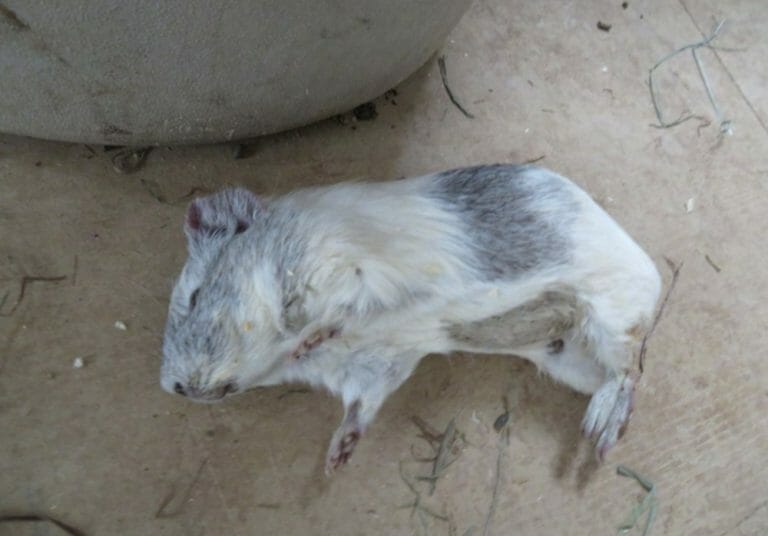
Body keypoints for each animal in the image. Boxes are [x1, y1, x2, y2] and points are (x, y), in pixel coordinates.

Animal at [160, 164, 661, 473]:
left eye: (195, 295)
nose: (173, 387)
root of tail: (653, 277)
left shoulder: (345, 273)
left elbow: (339, 311)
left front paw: (309, 339)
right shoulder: (377, 366)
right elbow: (359, 408)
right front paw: (335, 461)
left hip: (610, 317)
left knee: (630, 373)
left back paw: (600, 435)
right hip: (567, 359)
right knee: (619, 377)